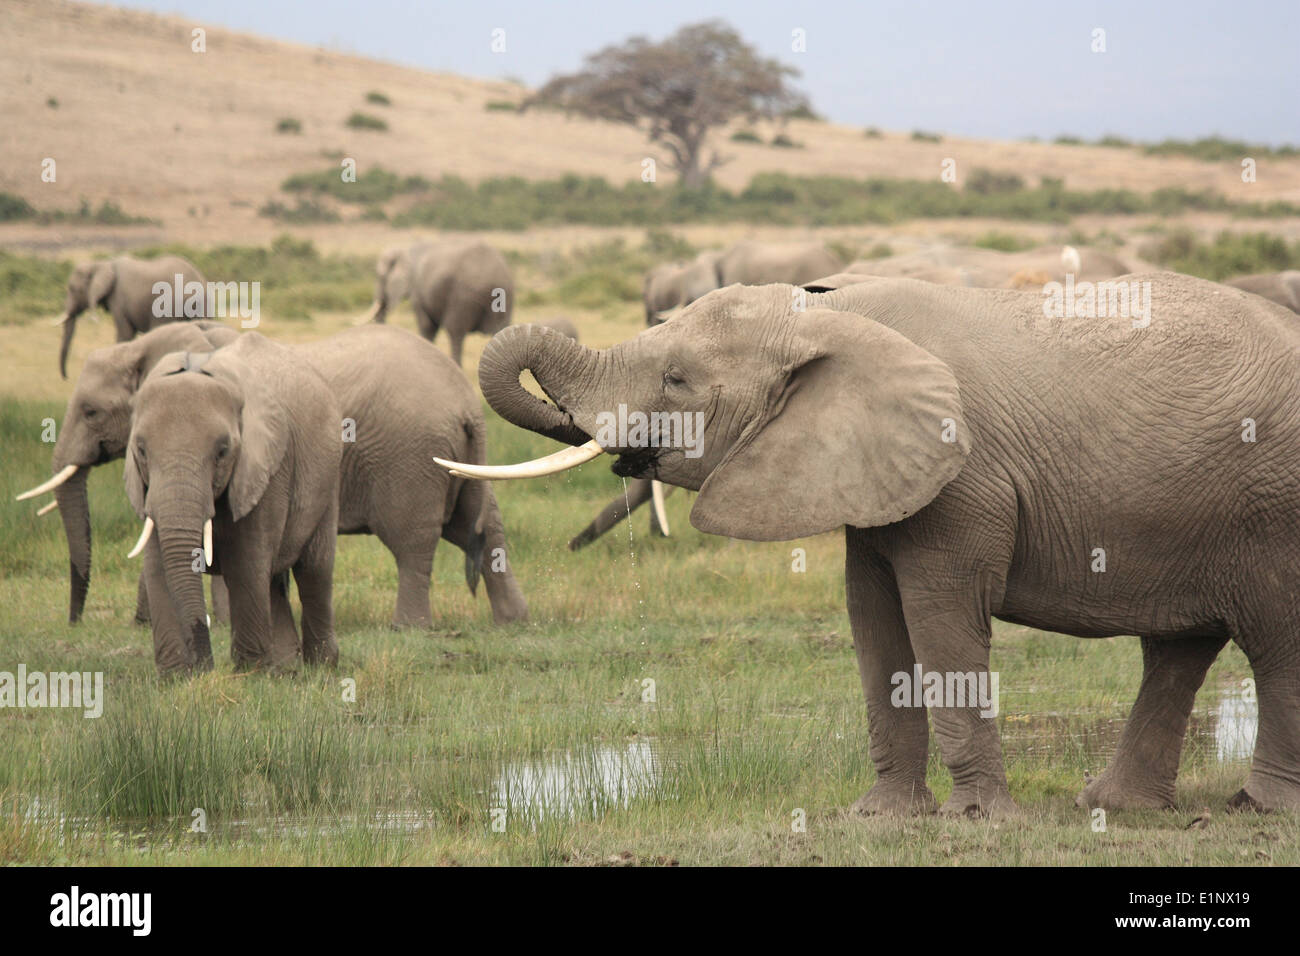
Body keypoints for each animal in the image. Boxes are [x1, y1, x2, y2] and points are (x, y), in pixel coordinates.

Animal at [56, 255, 207, 379]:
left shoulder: (118, 299)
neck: (100, 264)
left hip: (169, 305)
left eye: (73, 289)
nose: (67, 377)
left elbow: (125, 333)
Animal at [125, 332, 342, 675]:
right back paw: (284, 669)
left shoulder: (266, 469)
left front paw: (248, 675)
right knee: (274, 580)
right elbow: (158, 563)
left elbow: (246, 562)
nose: (204, 666)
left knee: (314, 570)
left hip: (328, 478)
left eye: (222, 451)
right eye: (142, 450)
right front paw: (175, 677)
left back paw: (321, 666)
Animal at [360, 241, 513, 366]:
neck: (404, 248)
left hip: (464, 296)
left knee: (455, 330)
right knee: (500, 332)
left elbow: (427, 325)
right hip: (503, 296)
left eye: (380, 277)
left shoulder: (417, 289)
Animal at [449, 274, 1300, 816]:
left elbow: (940, 617)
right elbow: (874, 620)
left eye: (678, 379)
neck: (830, 314)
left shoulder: (964, 479)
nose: (628, 450)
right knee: (1179, 648)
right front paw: (883, 817)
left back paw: (1256, 807)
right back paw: (1115, 806)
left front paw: (978, 820)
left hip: (1273, 508)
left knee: (1274, 643)